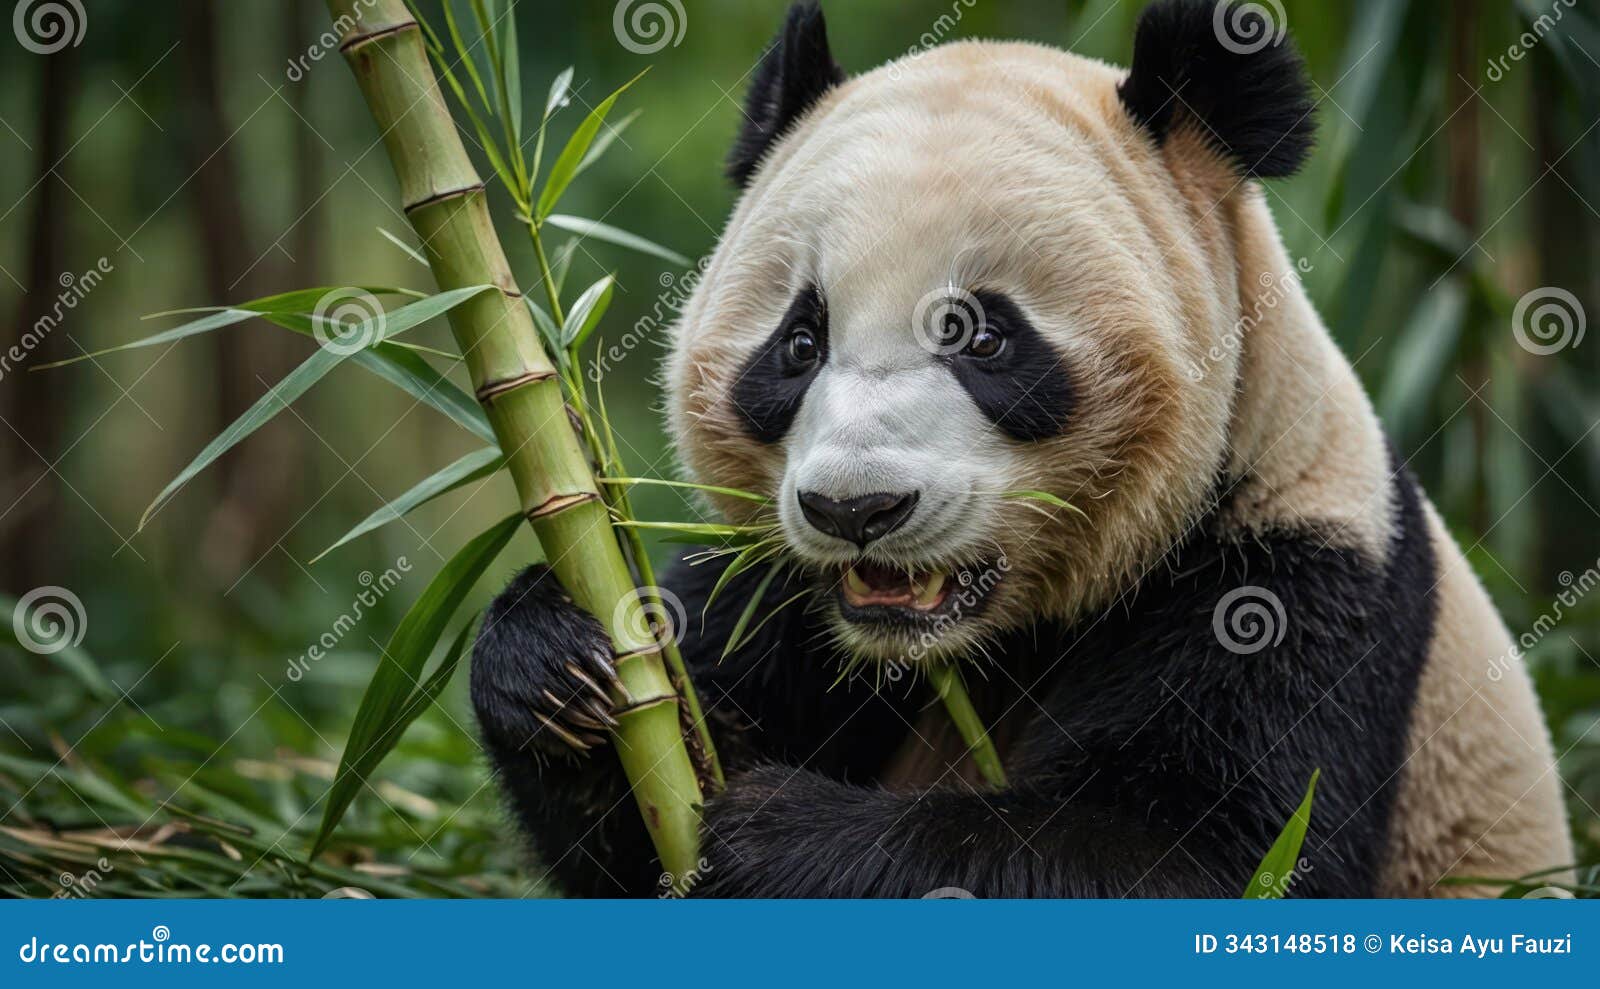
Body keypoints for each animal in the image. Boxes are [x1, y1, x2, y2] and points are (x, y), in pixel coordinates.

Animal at [470, 0, 1574, 897]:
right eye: (799, 341)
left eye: (980, 336)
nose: (856, 510)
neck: (985, 640)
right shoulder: (783, 593)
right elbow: (634, 810)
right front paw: (555, 660)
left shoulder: (1294, 578)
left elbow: (1210, 859)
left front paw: (774, 834)